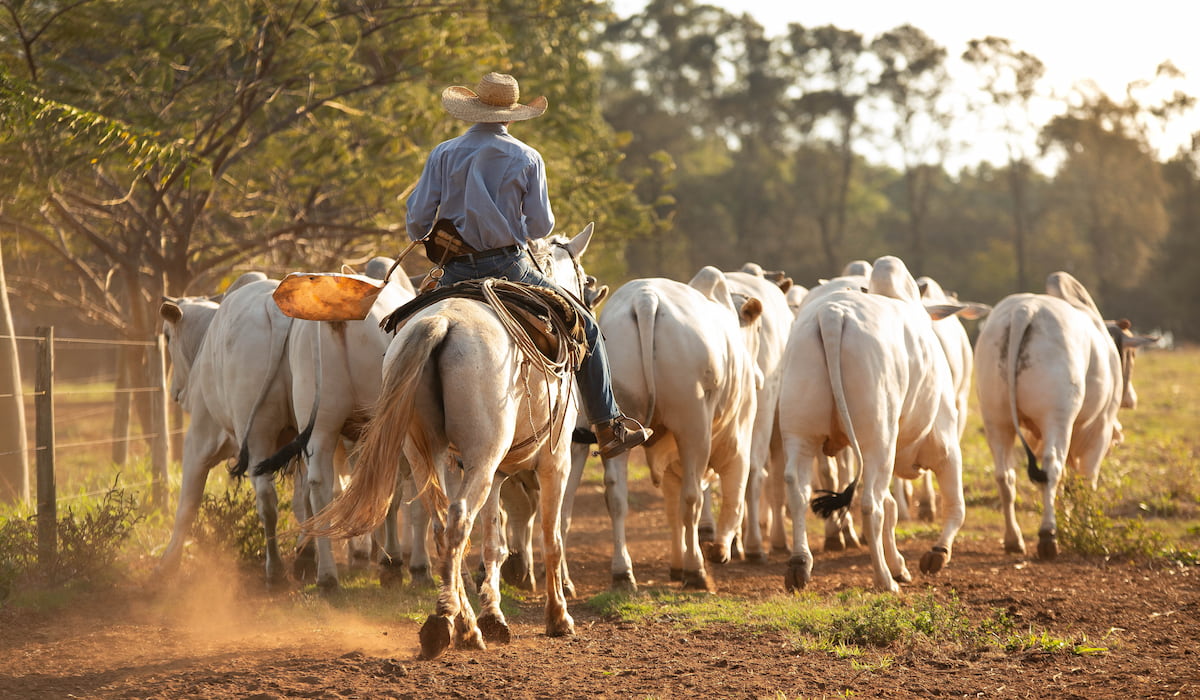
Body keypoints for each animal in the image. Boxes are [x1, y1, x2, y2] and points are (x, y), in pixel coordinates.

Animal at [300, 224, 596, 660]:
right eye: (584, 277)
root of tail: (441, 322)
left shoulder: (493, 472)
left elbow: (493, 542)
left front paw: (494, 616)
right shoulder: (553, 462)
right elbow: (550, 536)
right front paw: (558, 617)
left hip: (429, 455)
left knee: (442, 526)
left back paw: (459, 624)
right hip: (481, 458)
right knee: (456, 522)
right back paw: (450, 625)